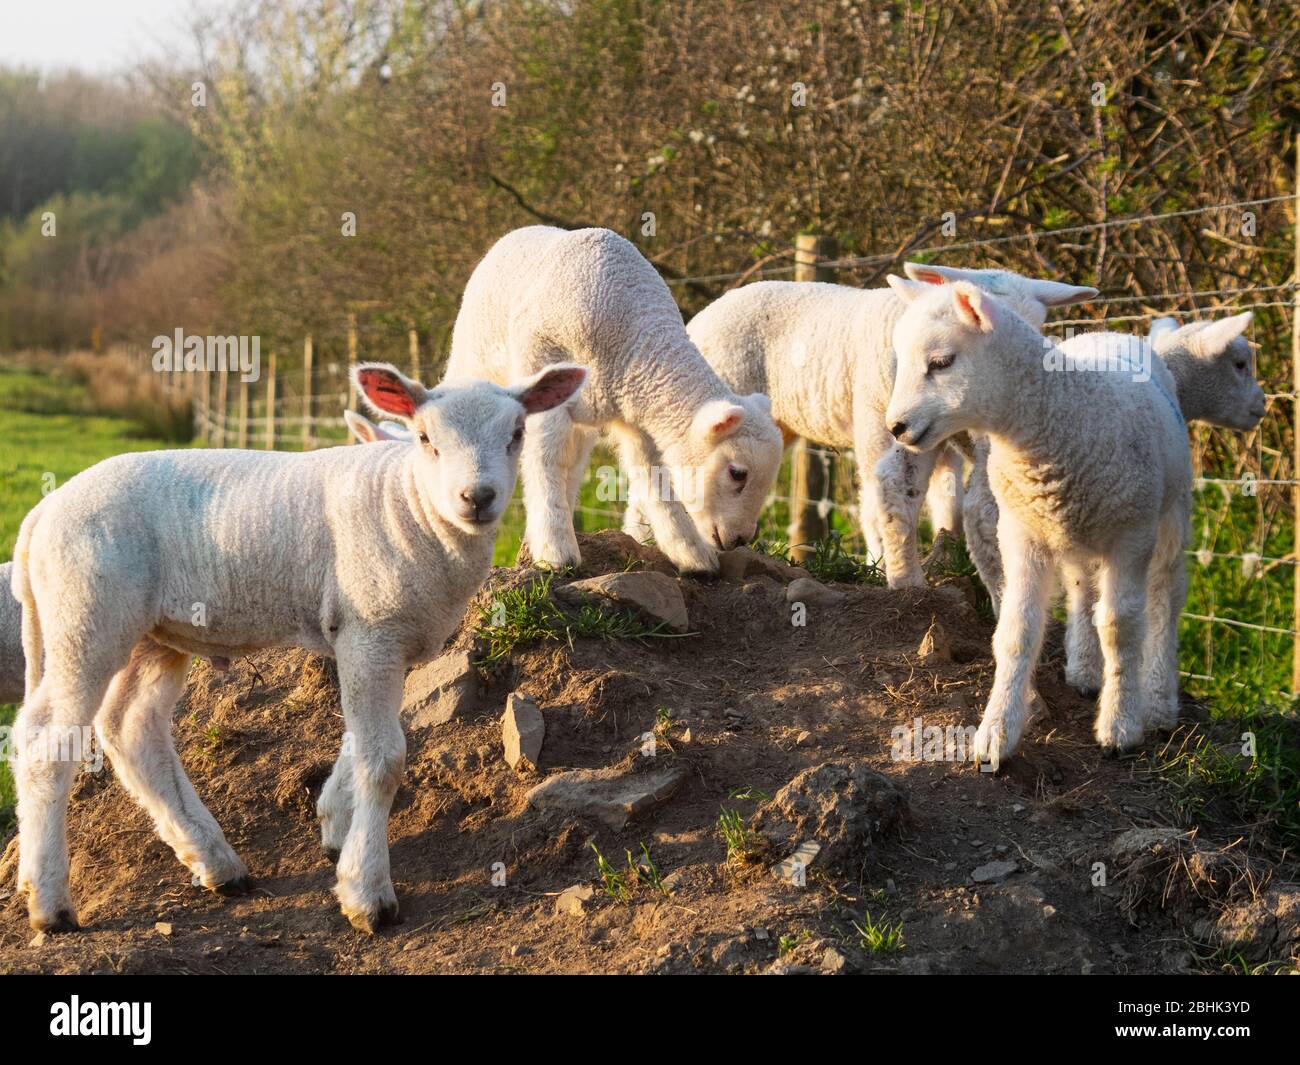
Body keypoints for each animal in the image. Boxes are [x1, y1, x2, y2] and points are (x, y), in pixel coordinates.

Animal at [9, 361, 586, 934]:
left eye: (517, 434)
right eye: (426, 438)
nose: (478, 497)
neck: (409, 504)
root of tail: (41, 514)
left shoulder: (384, 640)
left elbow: (362, 740)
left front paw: (337, 828)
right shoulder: (370, 630)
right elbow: (383, 759)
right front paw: (368, 893)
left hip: (154, 633)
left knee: (132, 727)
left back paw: (217, 864)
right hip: (85, 615)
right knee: (44, 740)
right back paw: (50, 904)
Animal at [444, 225, 785, 575]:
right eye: (738, 473)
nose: (741, 539)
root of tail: (517, 232)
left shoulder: (638, 413)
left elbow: (652, 474)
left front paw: (691, 554)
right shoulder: (545, 367)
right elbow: (544, 458)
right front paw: (555, 553)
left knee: (573, 461)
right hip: (477, 354)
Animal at [684, 262, 1096, 585]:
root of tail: (707, 312)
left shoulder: (941, 437)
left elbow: (946, 502)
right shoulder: (881, 425)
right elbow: (883, 499)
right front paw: (887, 570)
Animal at [885, 278, 1192, 766]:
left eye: (941, 362)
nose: (895, 427)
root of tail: (1111, 332)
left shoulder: (1131, 535)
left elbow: (1121, 628)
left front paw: (1120, 728)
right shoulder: (1020, 533)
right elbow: (1016, 630)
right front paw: (995, 735)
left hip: (1170, 512)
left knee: (1165, 594)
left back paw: (1159, 703)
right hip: (1074, 529)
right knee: (1084, 589)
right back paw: (1084, 670)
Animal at [961, 312, 1261, 696]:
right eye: (1239, 363)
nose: (1261, 405)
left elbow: (1085, 586)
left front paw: (1084, 667)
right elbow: (1165, 595)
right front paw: (1157, 692)